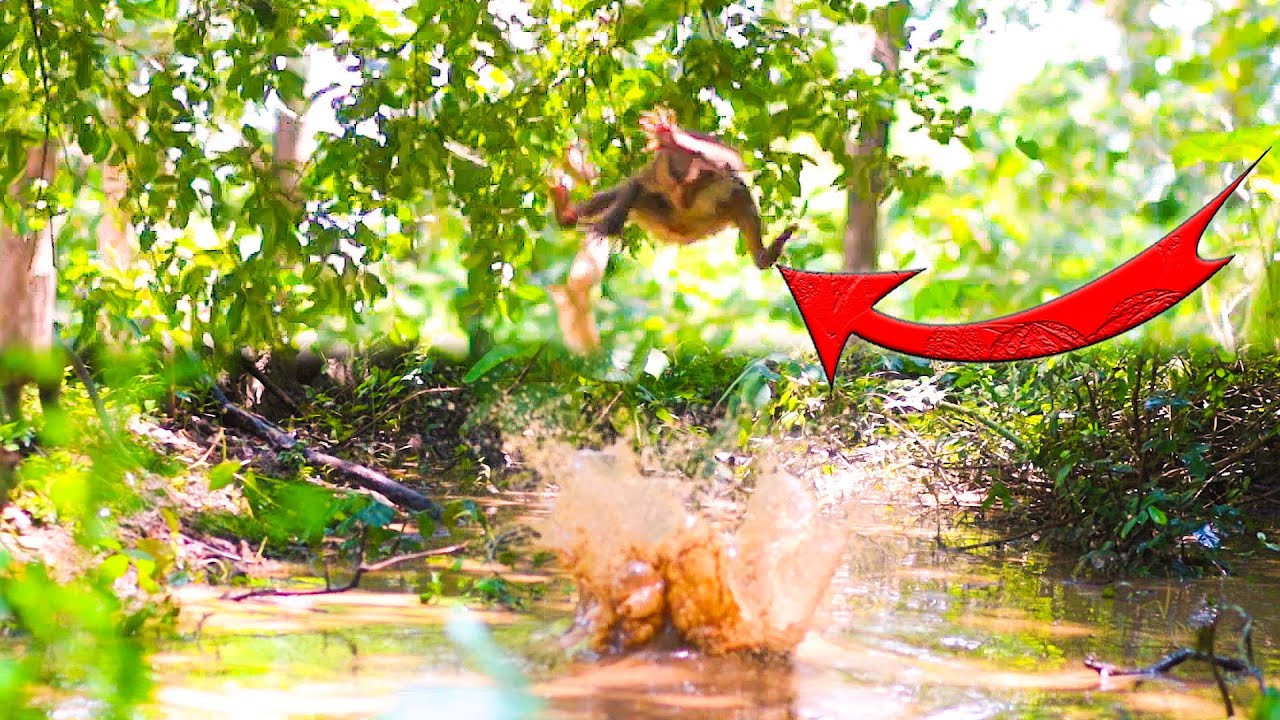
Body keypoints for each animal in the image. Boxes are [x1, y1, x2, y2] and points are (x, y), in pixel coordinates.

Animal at [547, 107, 798, 354]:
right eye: (679, 176)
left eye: (692, 178)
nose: (683, 192)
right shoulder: (660, 174)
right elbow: (634, 186)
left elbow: (731, 162)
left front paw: (672, 137)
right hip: (660, 215)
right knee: (633, 193)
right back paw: (568, 215)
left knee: (737, 193)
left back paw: (763, 257)